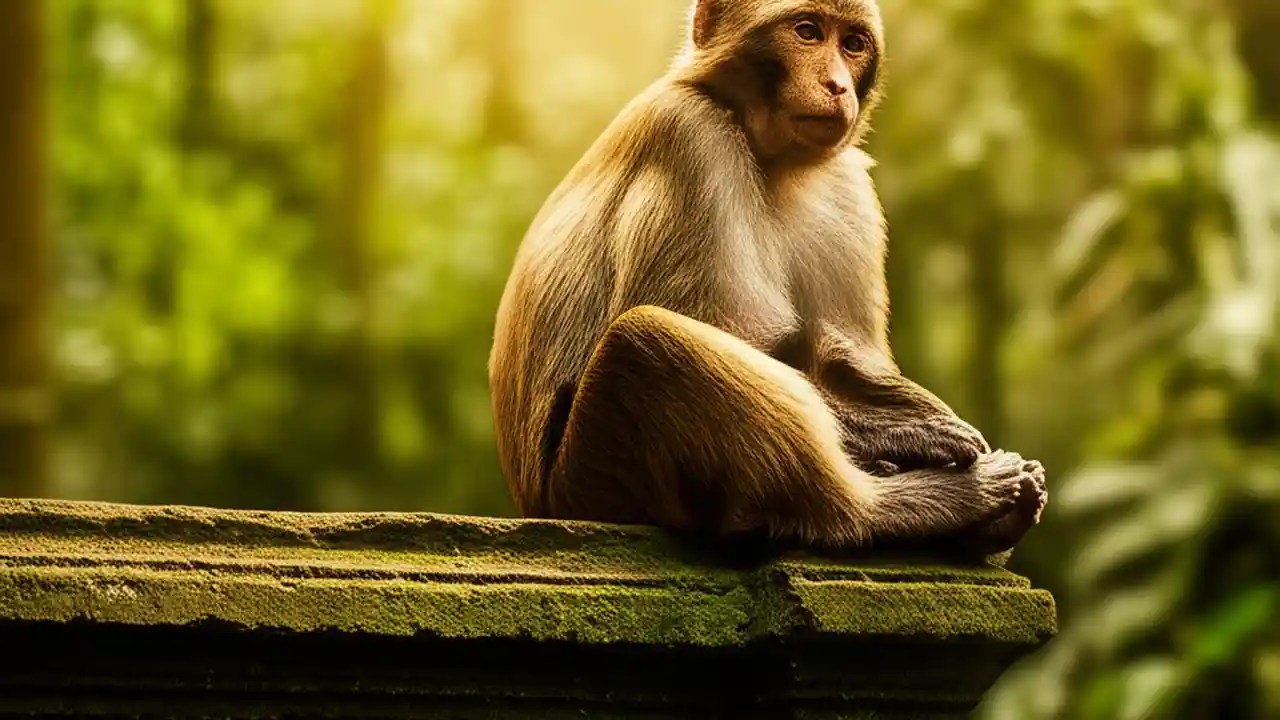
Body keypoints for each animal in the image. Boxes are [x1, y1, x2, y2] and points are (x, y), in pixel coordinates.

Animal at [487, 0, 1047, 556]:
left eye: (852, 44)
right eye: (807, 32)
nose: (837, 84)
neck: (768, 154)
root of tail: (538, 504)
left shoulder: (844, 183)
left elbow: (841, 355)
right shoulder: (689, 134)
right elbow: (744, 332)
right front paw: (899, 435)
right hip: (593, 477)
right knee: (645, 338)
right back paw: (895, 508)